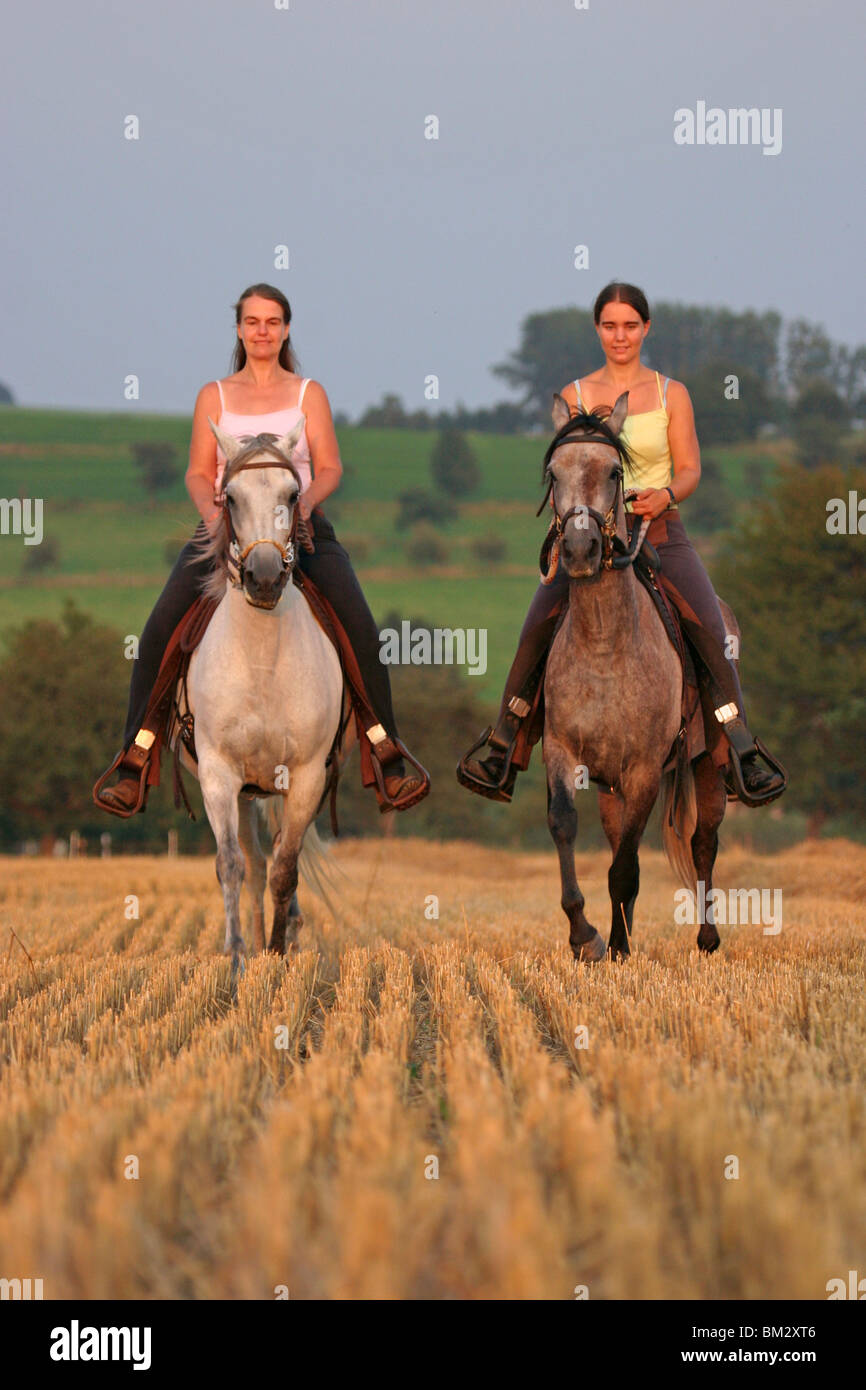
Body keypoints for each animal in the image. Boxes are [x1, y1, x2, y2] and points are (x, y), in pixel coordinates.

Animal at [173, 420, 345, 985]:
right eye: (230, 497)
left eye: (293, 495)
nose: (265, 577)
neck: (263, 659)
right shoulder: (219, 774)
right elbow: (232, 865)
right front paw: (237, 961)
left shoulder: (308, 775)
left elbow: (286, 869)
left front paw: (278, 953)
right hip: (247, 792)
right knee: (252, 864)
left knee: (278, 860)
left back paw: (289, 931)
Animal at [541, 391, 731, 961]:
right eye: (554, 473)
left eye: (613, 471)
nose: (580, 552)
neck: (606, 642)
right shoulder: (561, 750)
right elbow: (565, 824)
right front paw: (586, 936)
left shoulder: (645, 768)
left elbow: (626, 865)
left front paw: (619, 948)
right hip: (611, 787)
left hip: (708, 764)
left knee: (703, 842)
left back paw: (707, 939)